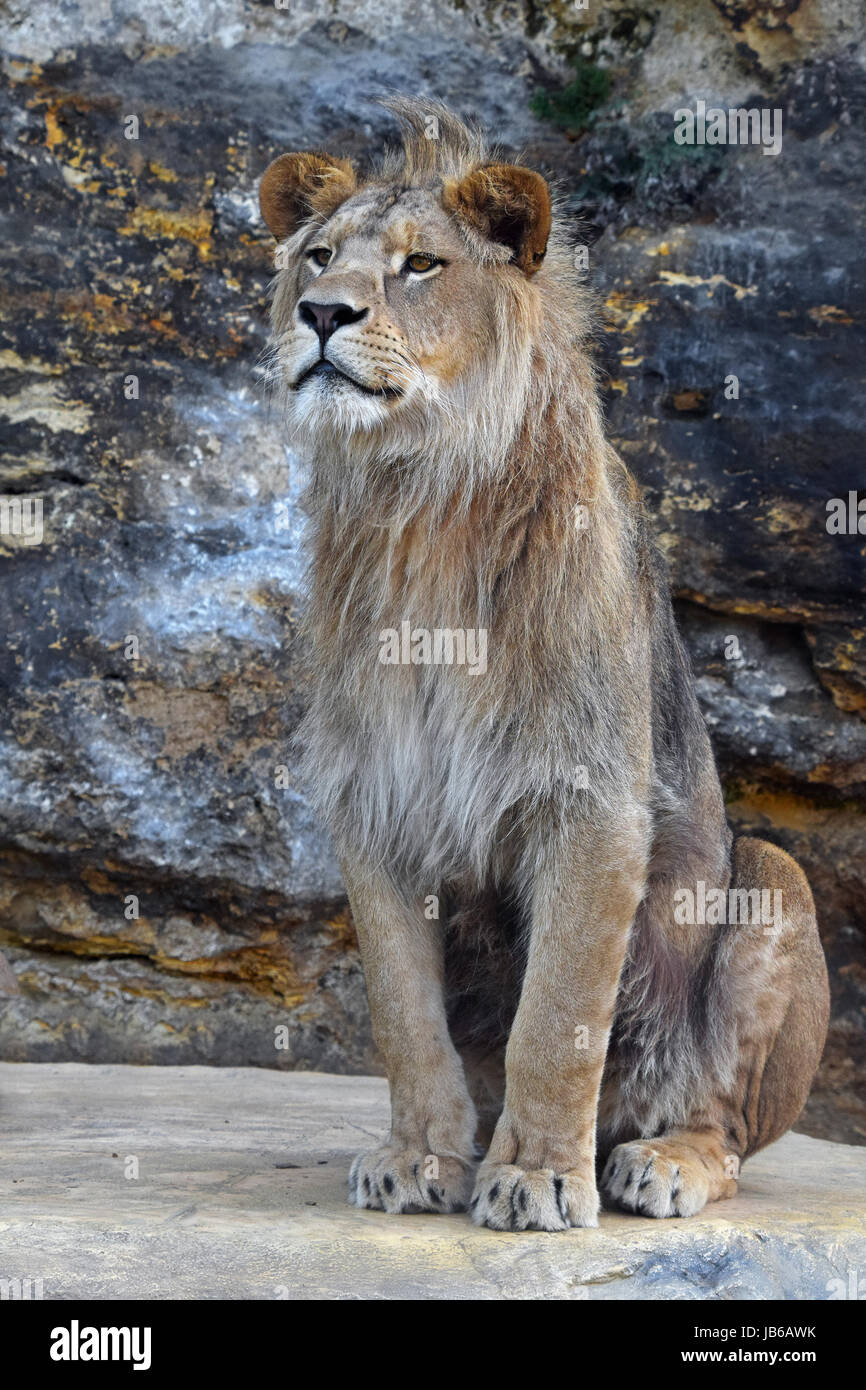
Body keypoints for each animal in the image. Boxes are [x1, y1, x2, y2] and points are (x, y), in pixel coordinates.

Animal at [258, 99, 829, 1231]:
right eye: (317, 256)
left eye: (420, 264)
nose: (320, 313)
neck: (416, 504)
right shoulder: (375, 800)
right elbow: (405, 1019)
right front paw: (422, 1158)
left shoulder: (592, 795)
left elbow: (557, 1014)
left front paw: (532, 1175)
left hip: (770, 880)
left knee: (723, 1127)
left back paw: (658, 1161)